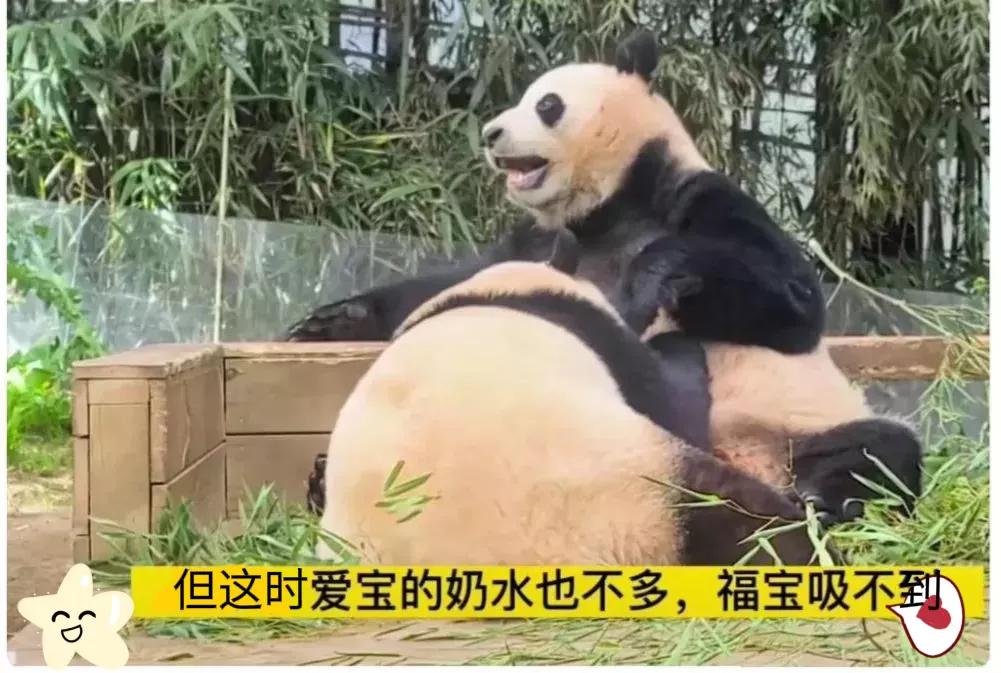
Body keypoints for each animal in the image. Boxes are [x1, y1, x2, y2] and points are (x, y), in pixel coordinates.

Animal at [297, 29, 920, 526]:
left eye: (547, 104)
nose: (491, 133)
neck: (606, 208)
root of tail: (753, 465)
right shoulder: (533, 242)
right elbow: (443, 287)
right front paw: (327, 322)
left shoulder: (700, 198)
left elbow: (794, 302)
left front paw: (652, 280)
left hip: (801, 425)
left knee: (882, 452)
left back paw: (826, 501)